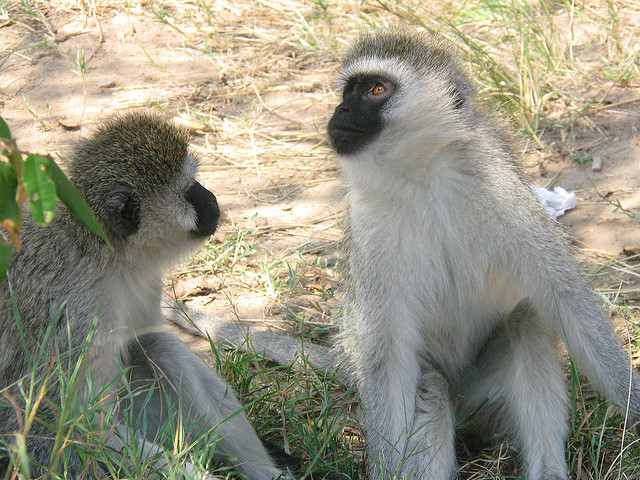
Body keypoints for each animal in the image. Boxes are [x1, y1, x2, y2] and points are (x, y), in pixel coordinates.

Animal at [0, 112, 346, 480]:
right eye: (189, 189)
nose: (213, 198)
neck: (104, 249)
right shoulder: (69, 311)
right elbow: (60, 424)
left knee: (156, 345)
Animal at [325, 29, 640, 480]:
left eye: (376, 90)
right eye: (347, 91)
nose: (341, 110)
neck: (422, 176)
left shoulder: (498, 186)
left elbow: (566, 298)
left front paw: (634, 406)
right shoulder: (370, 226)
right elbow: (387, 356)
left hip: (484, 397)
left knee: (527, 324)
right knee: (431, 388)